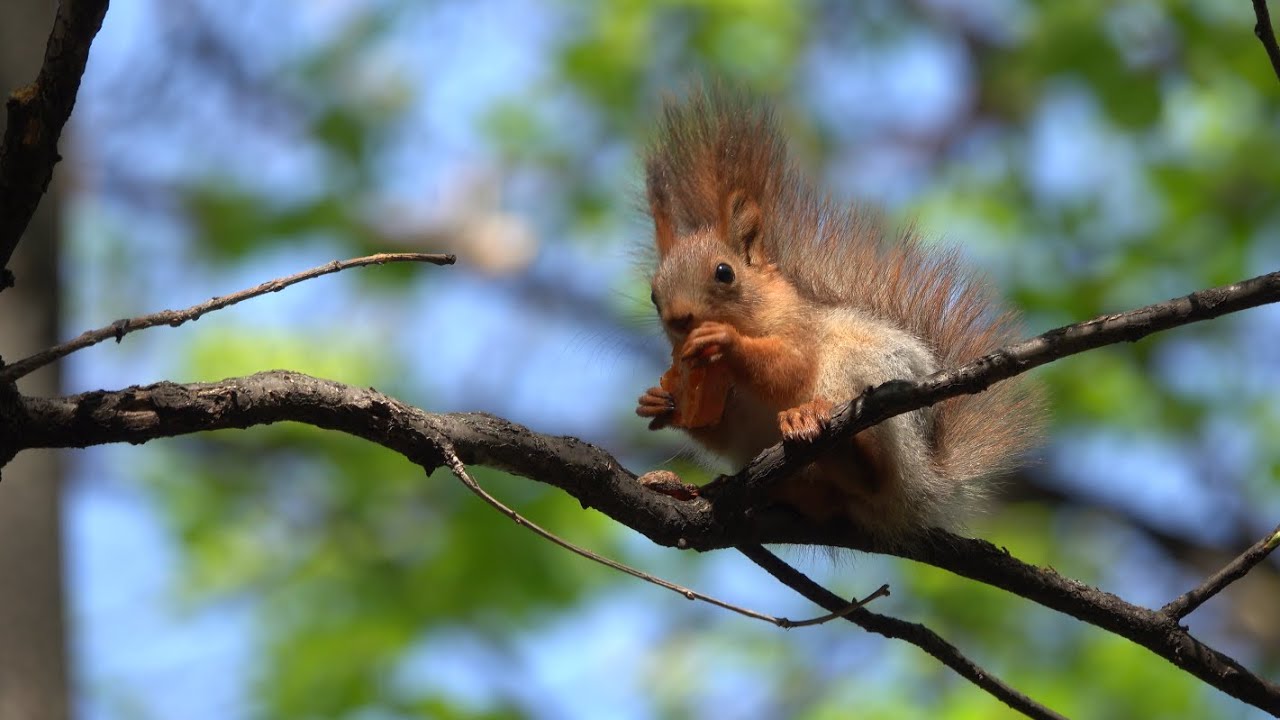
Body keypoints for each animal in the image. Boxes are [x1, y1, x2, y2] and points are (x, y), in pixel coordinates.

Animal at [634, 88, 1042, 541]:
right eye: (653, 295)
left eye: (725, 273)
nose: (680, 319)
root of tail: (923, 493)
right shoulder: (728, 407)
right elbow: (716, 427)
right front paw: (661, 403)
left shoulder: (800, 328)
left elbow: (790, 367)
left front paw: (727, 341)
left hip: (866, 383)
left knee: (874, 474)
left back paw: (827, 435)